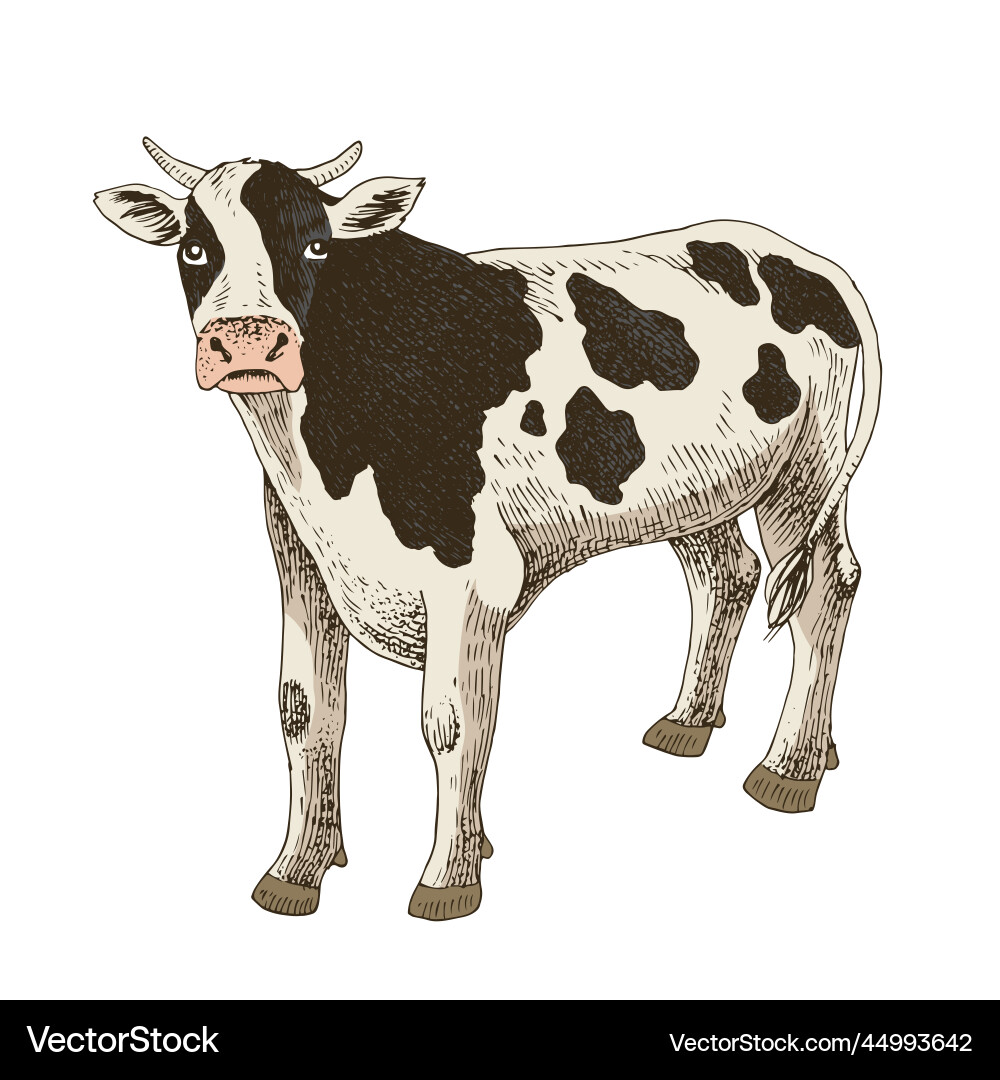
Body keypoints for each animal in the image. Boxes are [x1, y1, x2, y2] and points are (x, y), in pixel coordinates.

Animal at [94, 138, 880, 921]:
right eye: (195, 248)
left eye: (316, 245)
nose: (248, 344)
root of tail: (803, 258)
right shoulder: (304, 561)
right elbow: (306, 713)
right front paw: (300, 868)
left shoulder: (472, 580)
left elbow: (452, 724)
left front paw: (450, 876)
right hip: (698, 489)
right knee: (727, 574)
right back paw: (695, 723)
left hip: (805, 473)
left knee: (823, 591)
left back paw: (791, 768)